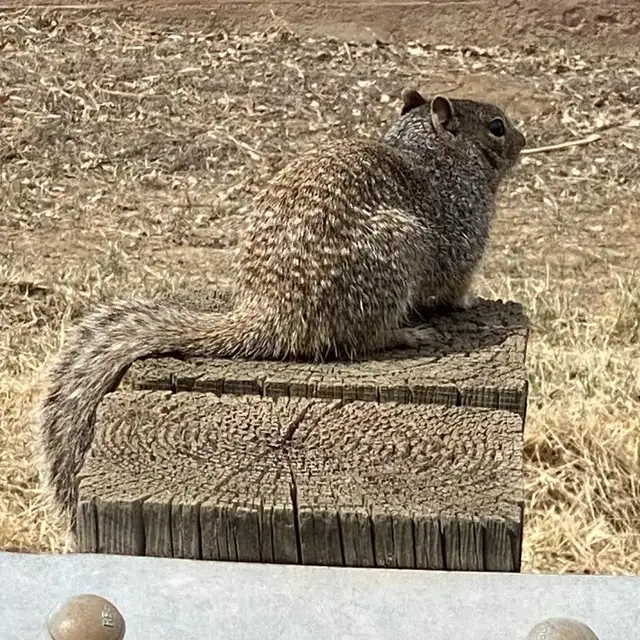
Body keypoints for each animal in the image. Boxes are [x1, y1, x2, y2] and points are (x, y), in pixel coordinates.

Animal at [35, 89, 526, 536]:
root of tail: (272, 312)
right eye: (496, 126)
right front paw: (473, 304)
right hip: (397, 255)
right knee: (358, 339)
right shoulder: (462, 238)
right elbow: (453, 289)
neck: (432, 153)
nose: (523, 139)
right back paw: (407, 335)